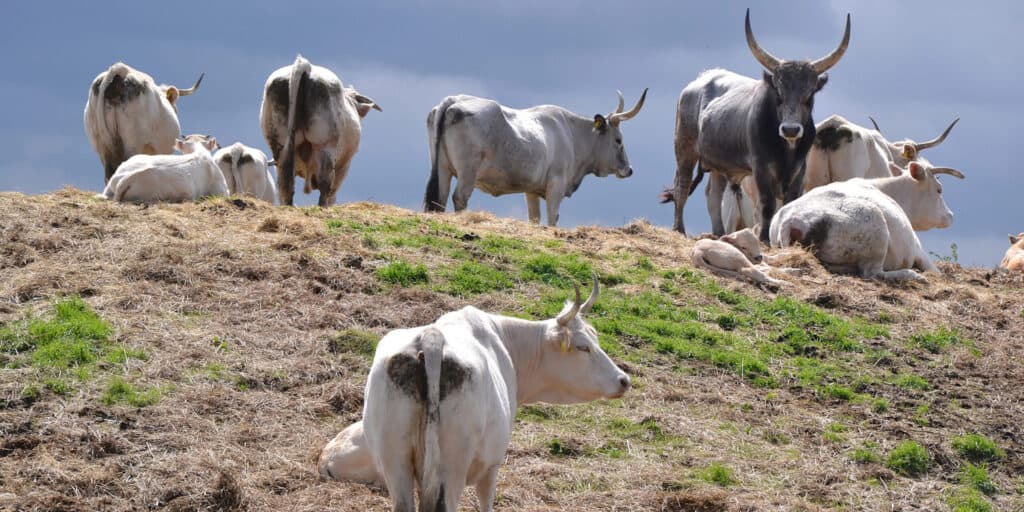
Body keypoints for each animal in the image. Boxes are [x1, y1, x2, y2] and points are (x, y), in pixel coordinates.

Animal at [260, 55, 381, 207]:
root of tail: (306, 66)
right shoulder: (344, 165)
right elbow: (333, 192)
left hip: (280, 145)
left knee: (285, 184)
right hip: (325, 145)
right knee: (325, 184)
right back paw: (322, 206)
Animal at [362, 278, 629, 512]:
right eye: (583, 347)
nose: (624, 380)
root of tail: (431, 338)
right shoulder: (492, 464)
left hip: (395, 462)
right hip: (452, 468)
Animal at [423, 89, 648, 226]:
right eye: (618, 140)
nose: (629, 169)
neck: (571, 134)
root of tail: (454, 99)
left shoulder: (531, 191)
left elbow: (535, 218)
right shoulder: (556, 185)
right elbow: (552, 218)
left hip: (442, 169)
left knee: (440, 199)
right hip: (467, 171)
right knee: (459, 197)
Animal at [663, 9, 850, 242]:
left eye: (809, 96)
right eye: (778, 93)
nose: (790, 129)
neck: (786, 149)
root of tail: (699, 81)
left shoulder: (799, 170)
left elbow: (789, 203)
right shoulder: (760, 167)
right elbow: (767, 204)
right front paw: (763, 238)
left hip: (717, 162)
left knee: (713, 193)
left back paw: (719, 233)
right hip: (684, 149)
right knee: (682, 185)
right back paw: (679, 228)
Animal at [769, 161, 963, 281]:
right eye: (939, 189)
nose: (950, 215)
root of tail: (790, 220)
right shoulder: (919, 251)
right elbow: (936, 271)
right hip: (877, 231)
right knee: (873, 273)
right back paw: (914, 276)